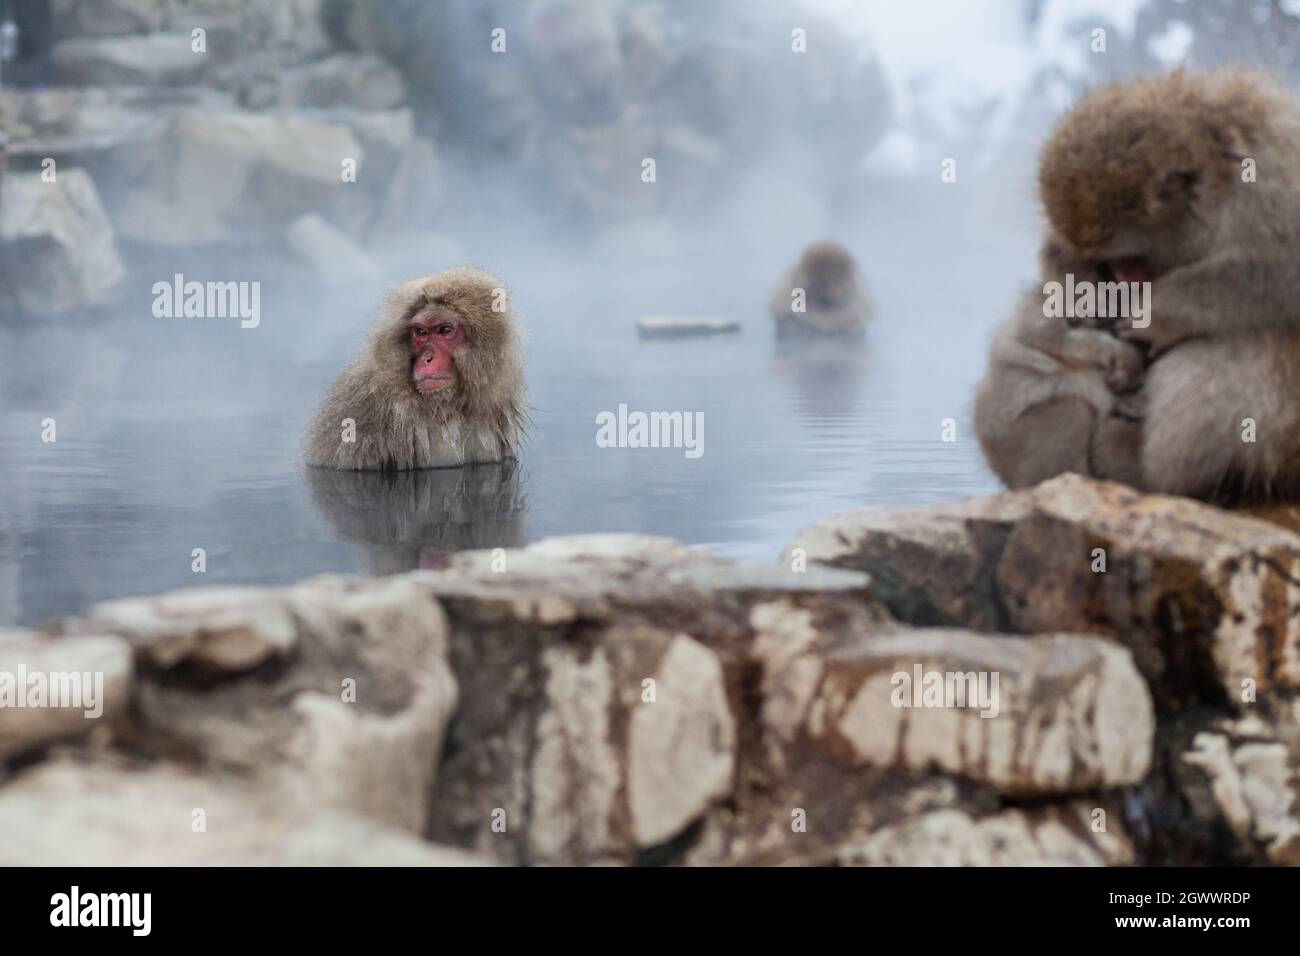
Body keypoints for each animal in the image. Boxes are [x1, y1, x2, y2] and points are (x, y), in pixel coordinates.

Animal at [1036, 68, 1300, 500]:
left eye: (1130, 259)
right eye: (1107, 261)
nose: (1123, 280)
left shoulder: (1276, 187)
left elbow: (1278, 272)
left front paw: (1158, 312)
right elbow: (1056, 251)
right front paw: (1082, 290)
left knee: (1245, 341)